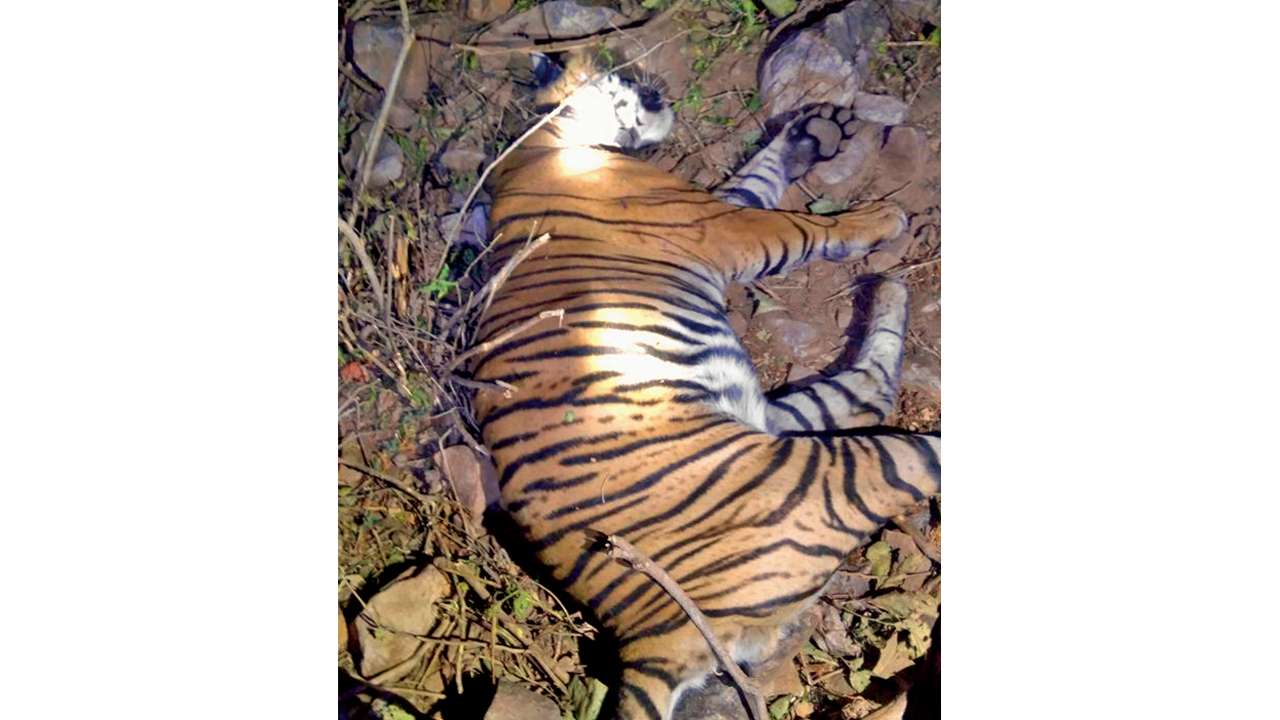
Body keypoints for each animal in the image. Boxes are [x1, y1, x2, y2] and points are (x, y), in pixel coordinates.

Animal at [462, 51, 941, 720]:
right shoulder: (722, 226)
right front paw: (877, 217)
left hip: (779, 417)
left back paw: (885, 289)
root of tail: (640, 637)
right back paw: (889, 285)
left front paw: (813, 131)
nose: (653, 86)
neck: (546, 142)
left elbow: (757, 172)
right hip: (836, 467)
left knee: (867, 387)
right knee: (901, 429)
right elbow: (800, 227)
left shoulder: (718, 205)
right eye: (616, 74)